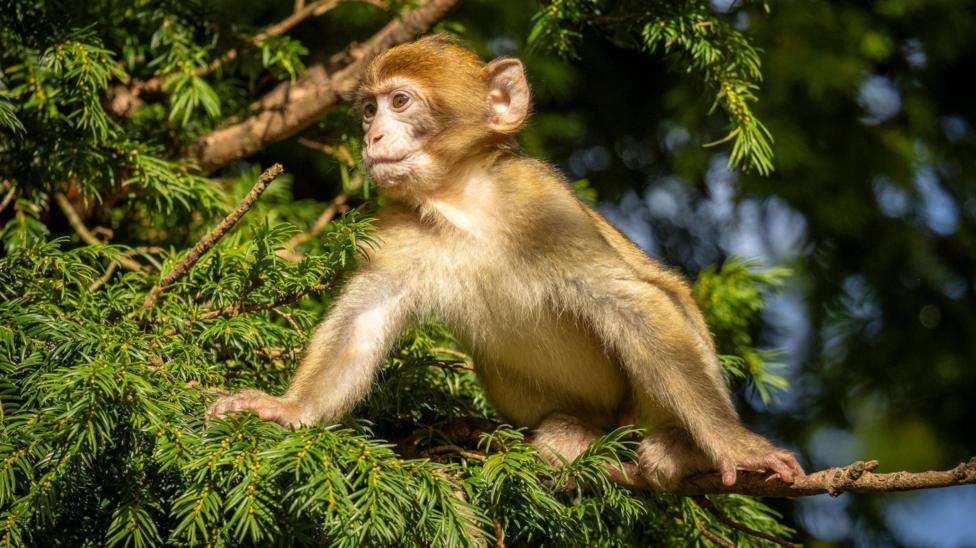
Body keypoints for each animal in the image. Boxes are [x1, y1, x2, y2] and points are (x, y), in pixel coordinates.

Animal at [208, 34, 804, 490]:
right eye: (369, 109)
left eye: (399, 102)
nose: (372, 136)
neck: (462, 204)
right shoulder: (398, 228)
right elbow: (364, 318)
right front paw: (289, 409)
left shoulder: (543, 206)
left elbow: (631, 302)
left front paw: (734, 443)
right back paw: (572, 432)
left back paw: (683, 449)